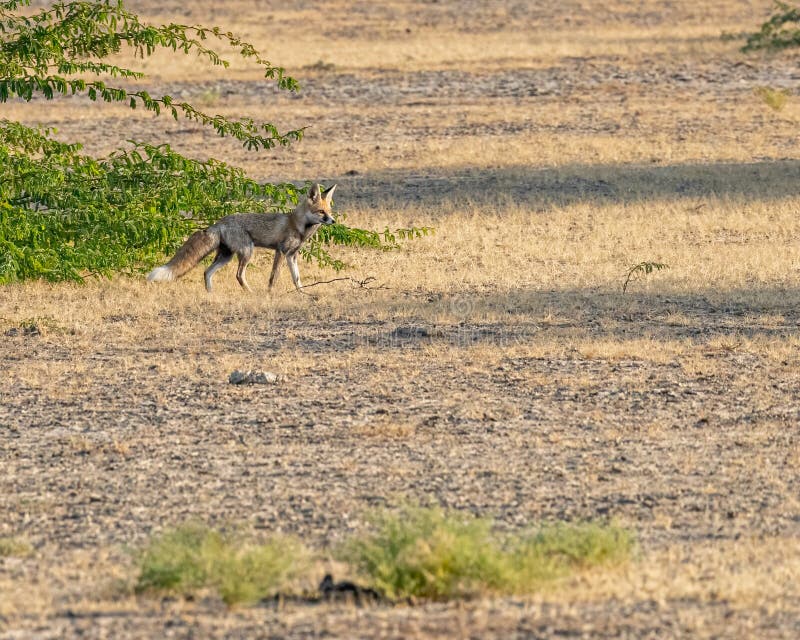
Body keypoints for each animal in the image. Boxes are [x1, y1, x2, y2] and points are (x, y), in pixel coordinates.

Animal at [147, 183, 336, 293]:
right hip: (247, 252)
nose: (333, 221)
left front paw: (303, 294)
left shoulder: (292, 255)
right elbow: (273, 277)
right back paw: (251, 293)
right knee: (238, 275)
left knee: (207, 272)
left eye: (329, 211)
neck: (298, 226)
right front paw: (270, 294)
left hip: (226, 256)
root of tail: (218, 222)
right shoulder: (281, 251)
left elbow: (296, 279)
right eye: (321, 212)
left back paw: (211, 293)